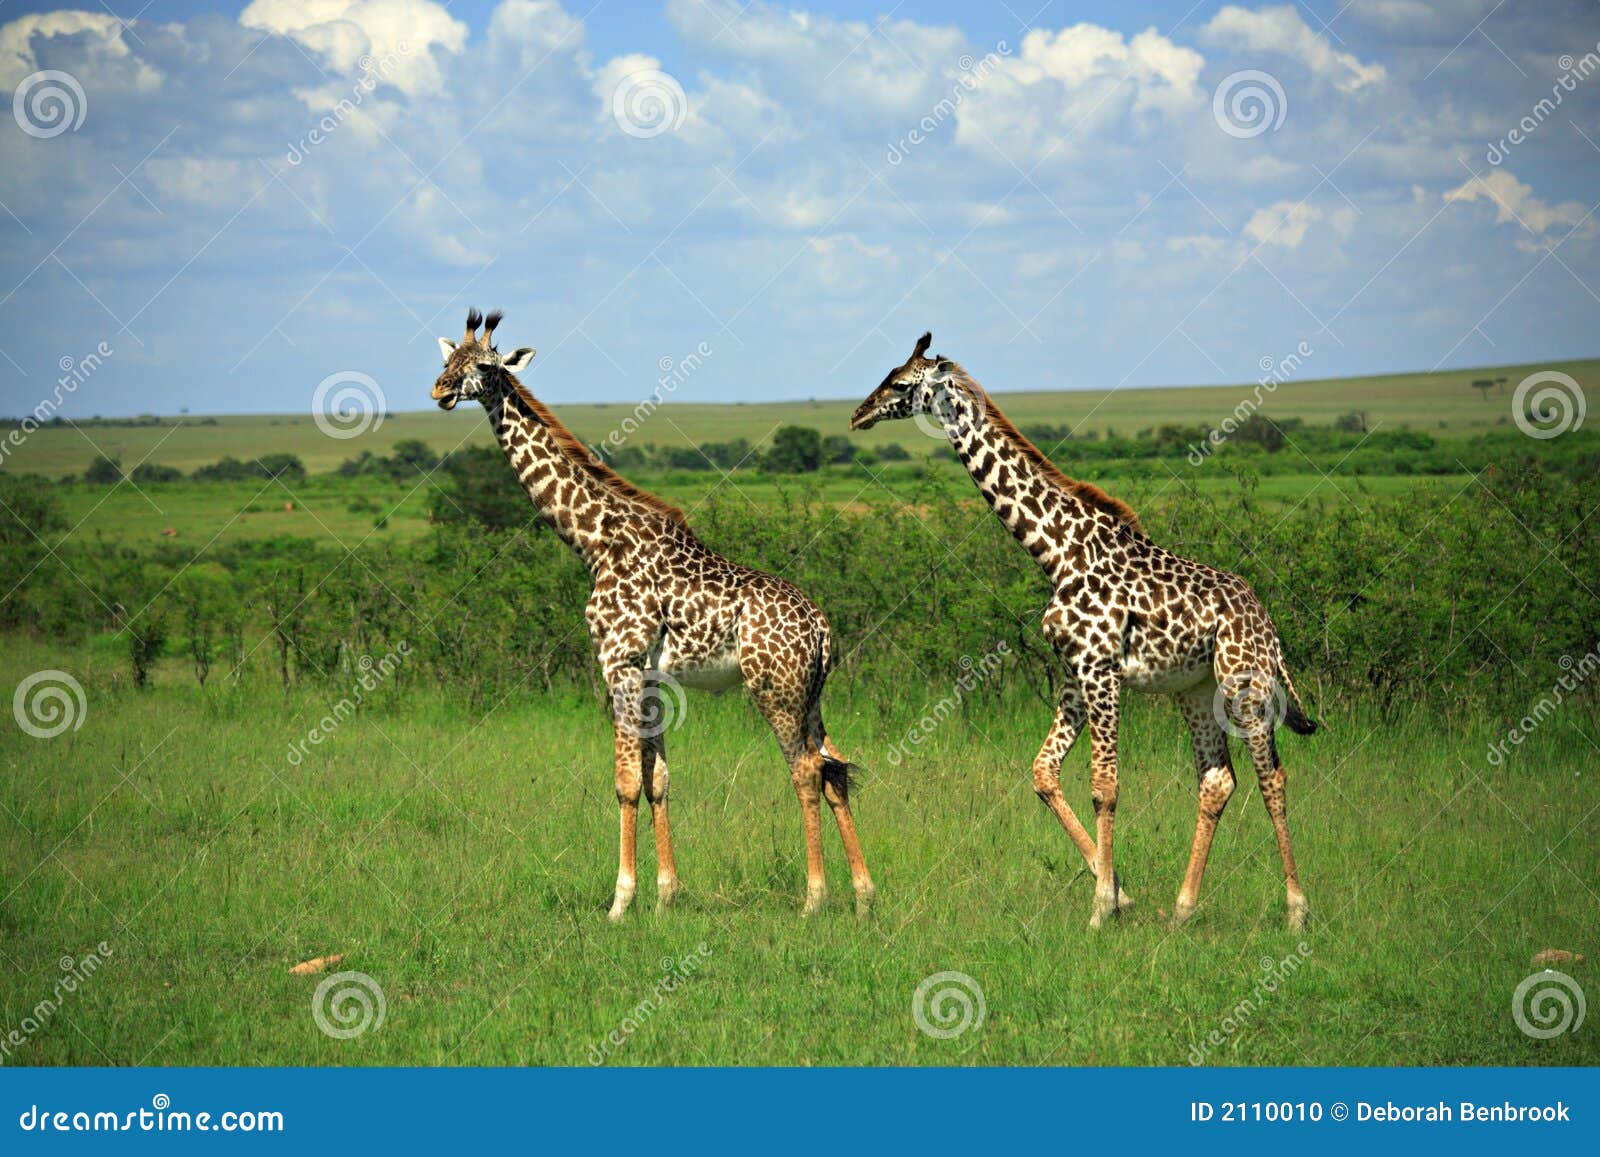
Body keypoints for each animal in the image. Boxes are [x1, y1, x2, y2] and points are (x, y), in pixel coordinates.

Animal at [430, 309, 874, 921]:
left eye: (486, 367)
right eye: (450, 360)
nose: (441, 390)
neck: (594, 540)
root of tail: (825, 630)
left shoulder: (616, 662)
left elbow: (624, 781)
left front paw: (620, 901)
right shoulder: (652, 675)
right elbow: (657, 777)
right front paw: (666, 896)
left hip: (774, 690)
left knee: (806, 771)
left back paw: (813, 898)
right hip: (810, 695)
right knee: (835, 769)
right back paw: (863, 897)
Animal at [850, 334, 1315, 931]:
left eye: (901, 384)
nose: (859, 414)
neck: (1057, 554)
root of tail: (1266, 621)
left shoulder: (1101, 669)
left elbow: (1105, 786)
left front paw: (1099, 910)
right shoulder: (1074, 672)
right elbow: (1044, 773)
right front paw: (1119, 893)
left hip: (1245, 682)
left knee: (1272, 778)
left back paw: (1296, 911)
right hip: (1196, 690)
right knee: (1217, 781)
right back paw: (1182, 910)